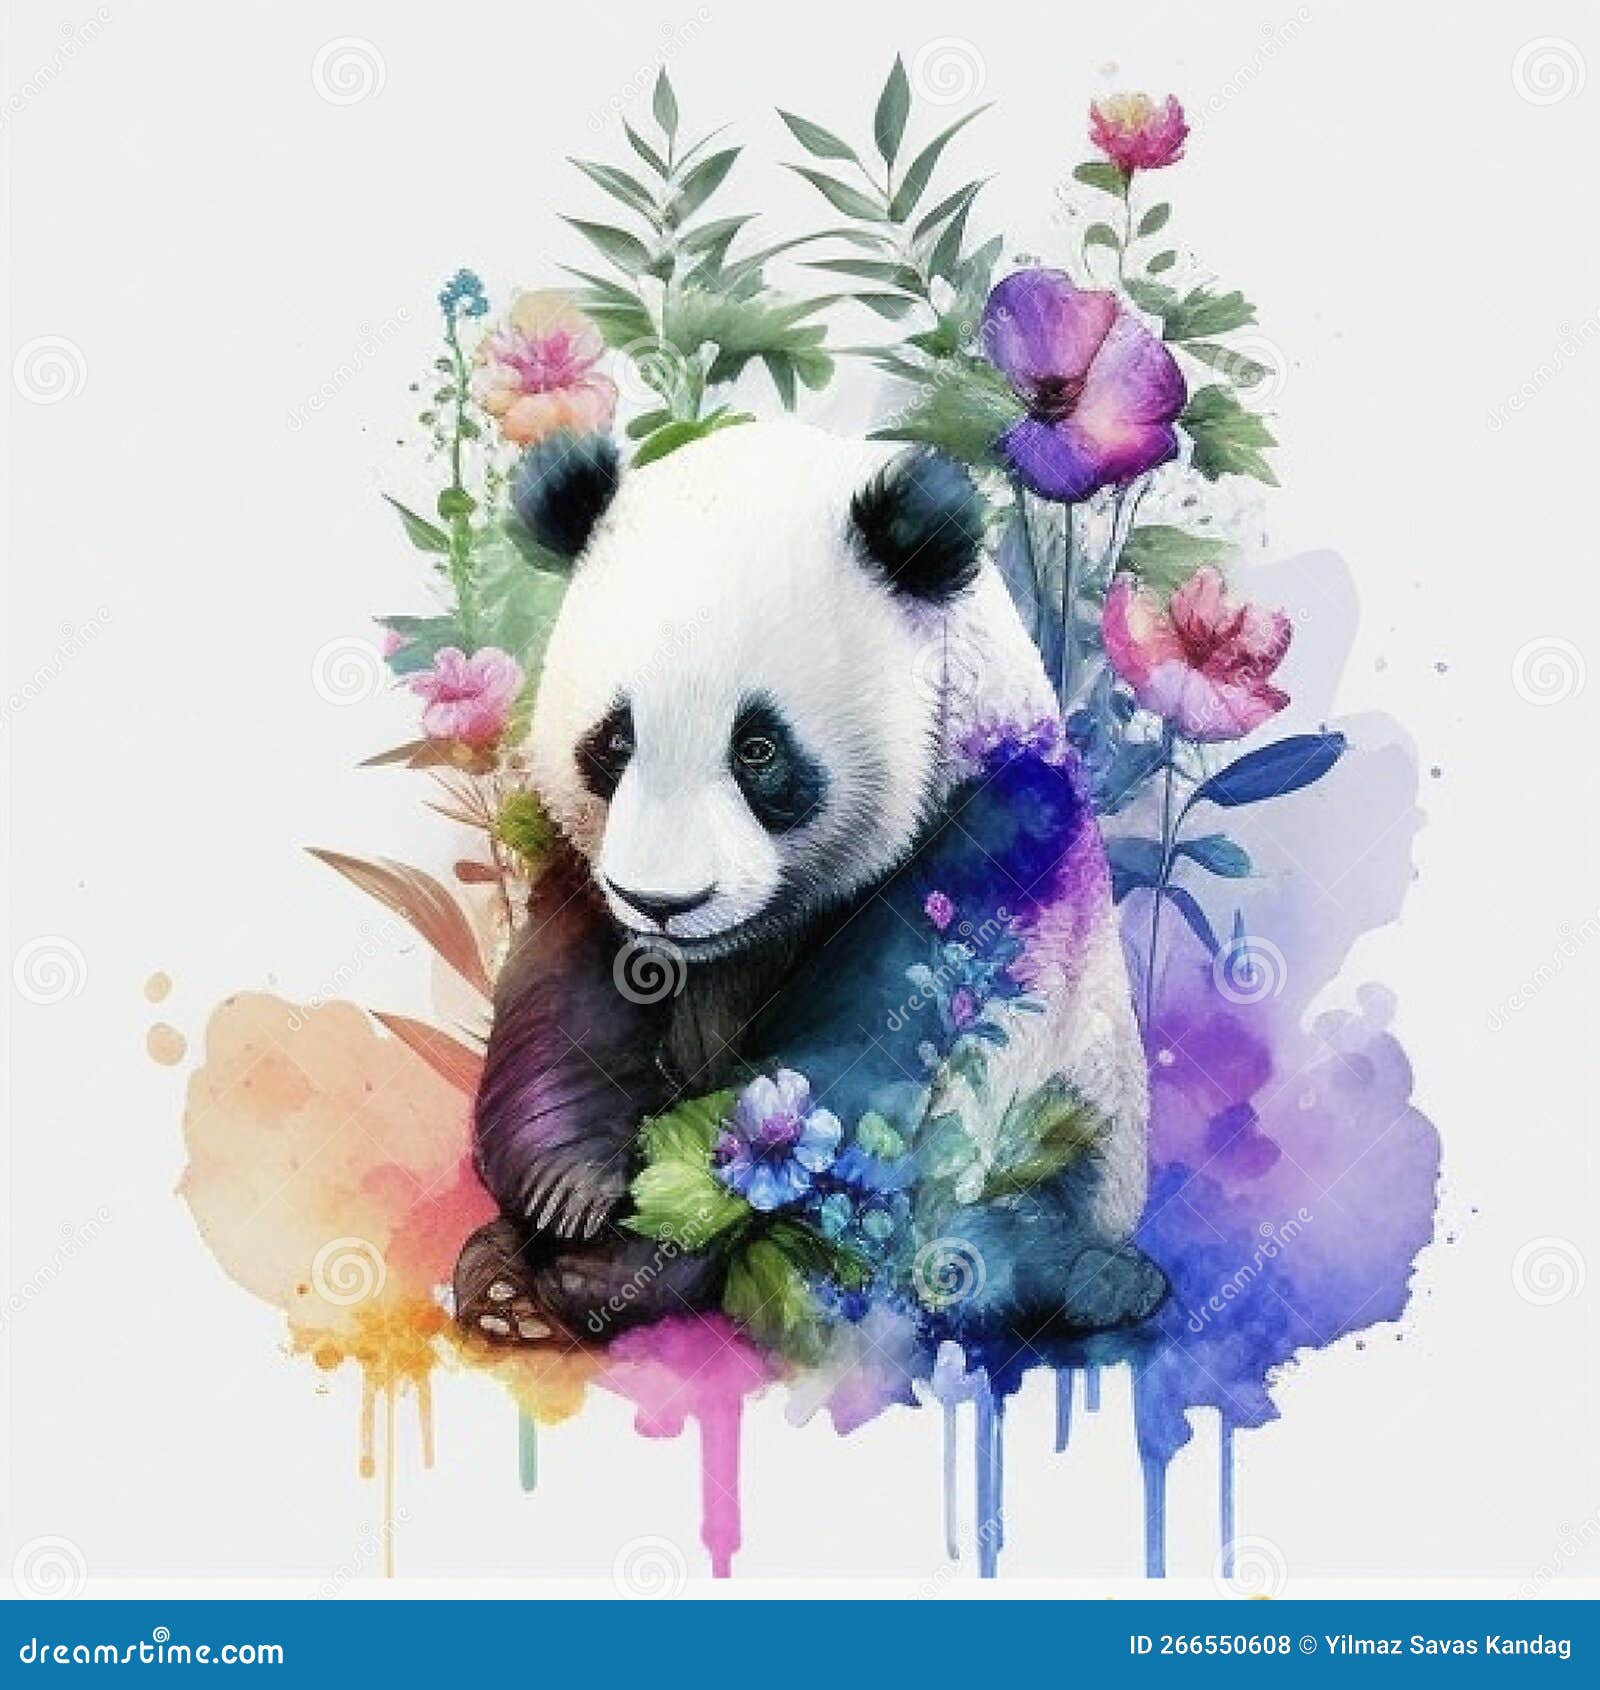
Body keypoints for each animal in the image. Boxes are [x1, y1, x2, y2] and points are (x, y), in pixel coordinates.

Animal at [453, 420, 1164, 1345]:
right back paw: (506, 1287)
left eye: (758, 750)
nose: (662, 904)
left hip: (1065, 1132)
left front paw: (630, 1243)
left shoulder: (989, 824)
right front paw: (573, 1189)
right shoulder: (584, 866)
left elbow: (846, 1062)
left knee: (984, 1241)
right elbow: (559, 1005)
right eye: (615, 741)